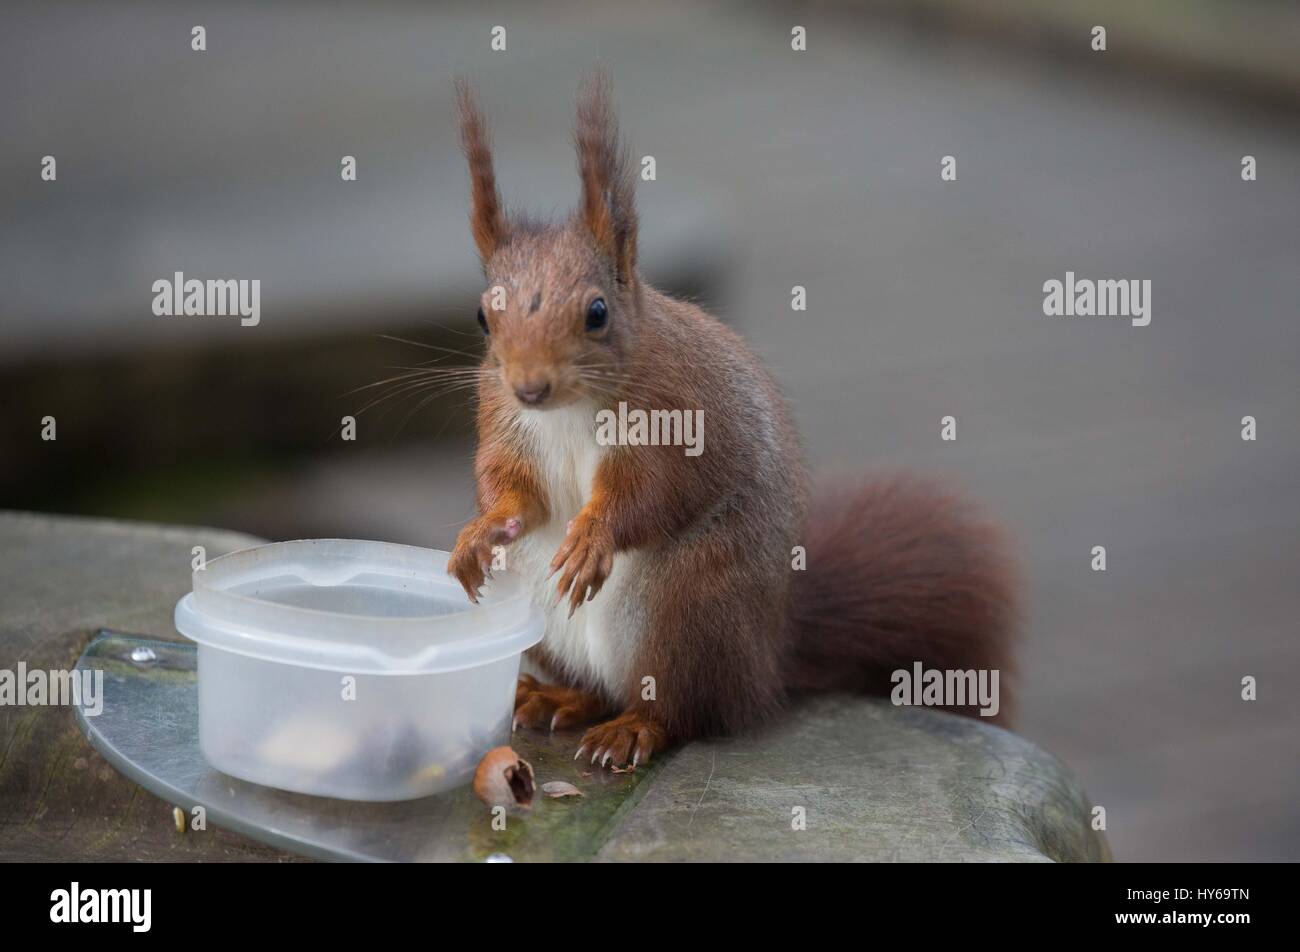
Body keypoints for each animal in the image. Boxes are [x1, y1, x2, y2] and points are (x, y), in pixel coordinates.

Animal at [447, 72, 1017, 769]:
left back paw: (633, 729)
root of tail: (765, 660)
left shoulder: (674, 418)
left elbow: (652, 494)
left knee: (685, 708)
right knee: (600, 689)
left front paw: (593, 537)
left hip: (686, 606)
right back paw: (559, 698)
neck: (569, 409)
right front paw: (480, 533)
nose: (530, 387)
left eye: (597, 313)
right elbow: (515, 492)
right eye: (482, 316)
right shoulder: (505, 419)